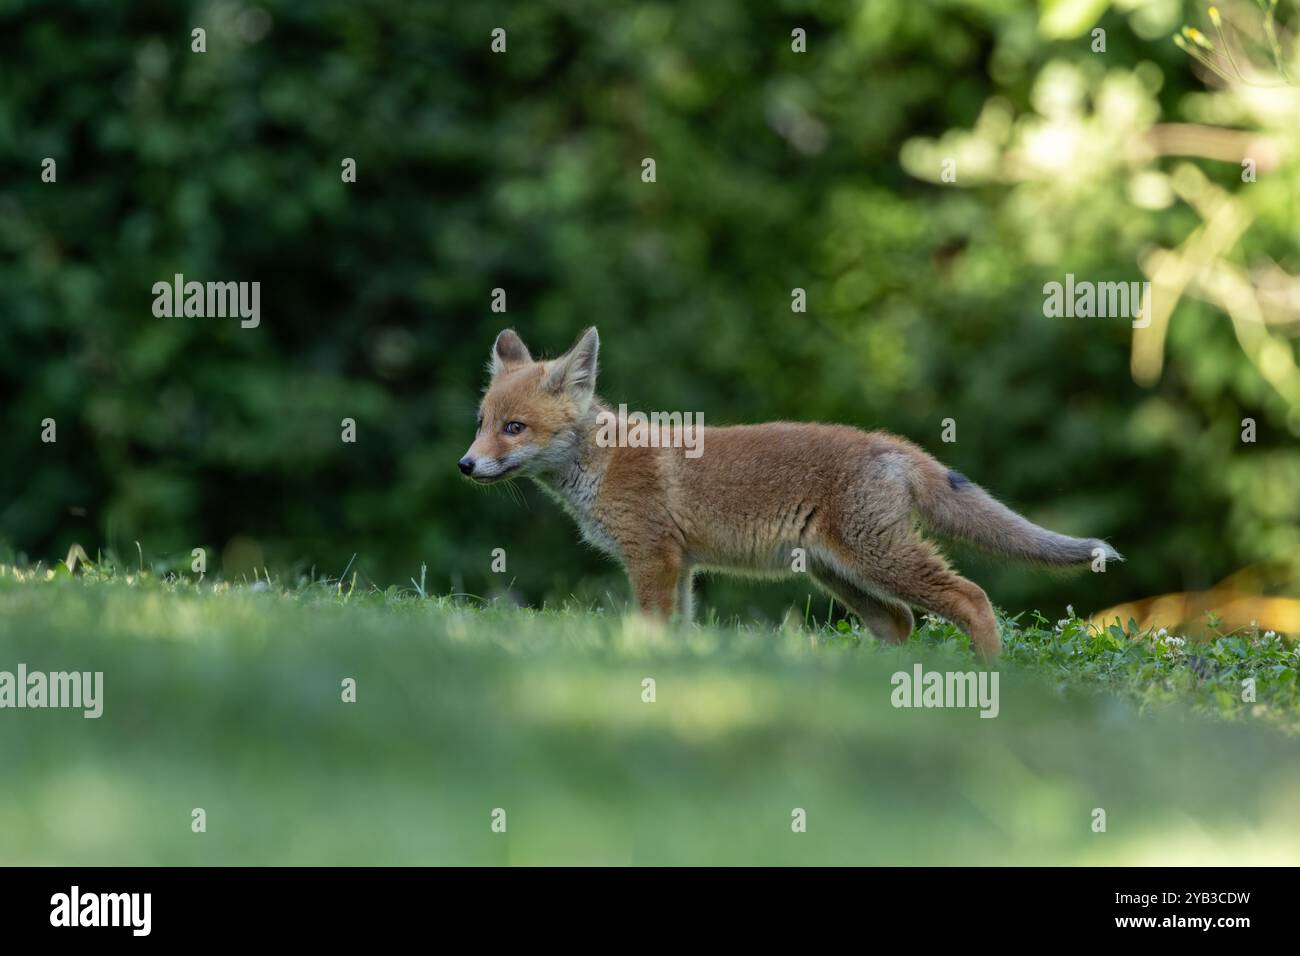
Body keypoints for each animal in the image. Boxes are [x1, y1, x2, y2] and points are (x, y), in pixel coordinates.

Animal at [460, 327, 1121, 658]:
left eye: (514, 428)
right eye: (482, 422)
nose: (465, 465)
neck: (603, 459)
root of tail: (888, 443)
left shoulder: (653, 558)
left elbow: (651, 626)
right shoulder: (683, 565)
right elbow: (683, 629)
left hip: (878, 560)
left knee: (972, 598)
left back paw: (993, 678)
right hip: (841, 574)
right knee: (902, 622)